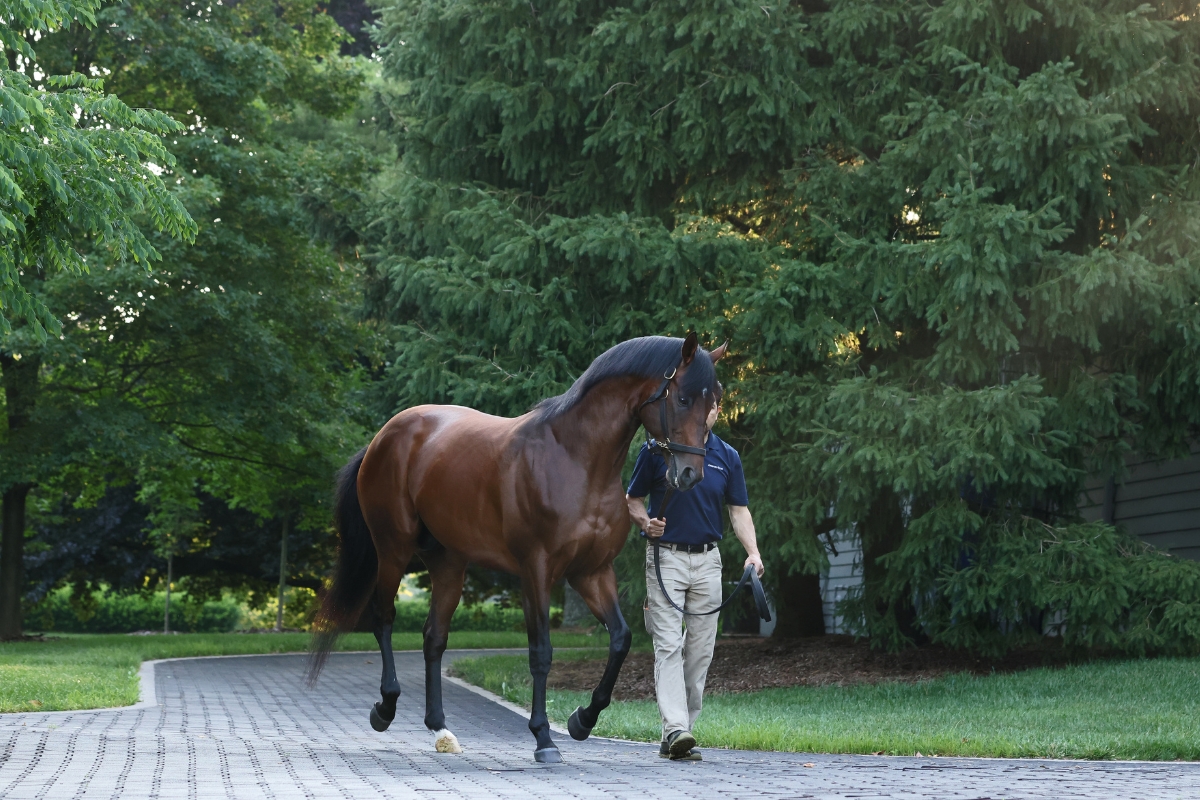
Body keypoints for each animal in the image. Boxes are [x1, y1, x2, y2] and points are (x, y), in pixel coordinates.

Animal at [306, 333, 726, 762]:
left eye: (715, 400)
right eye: (682, 399)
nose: (690, 474)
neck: (575, 458)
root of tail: (383, 437)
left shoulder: (591, 572)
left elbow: (620, 640)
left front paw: (582, 720)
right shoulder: (536, 571)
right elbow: (541, 651)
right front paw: (544, 738)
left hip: (448, 563)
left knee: (434, 638)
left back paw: (440, 728)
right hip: (393, 550)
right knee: (384, 618)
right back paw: (385, 708)